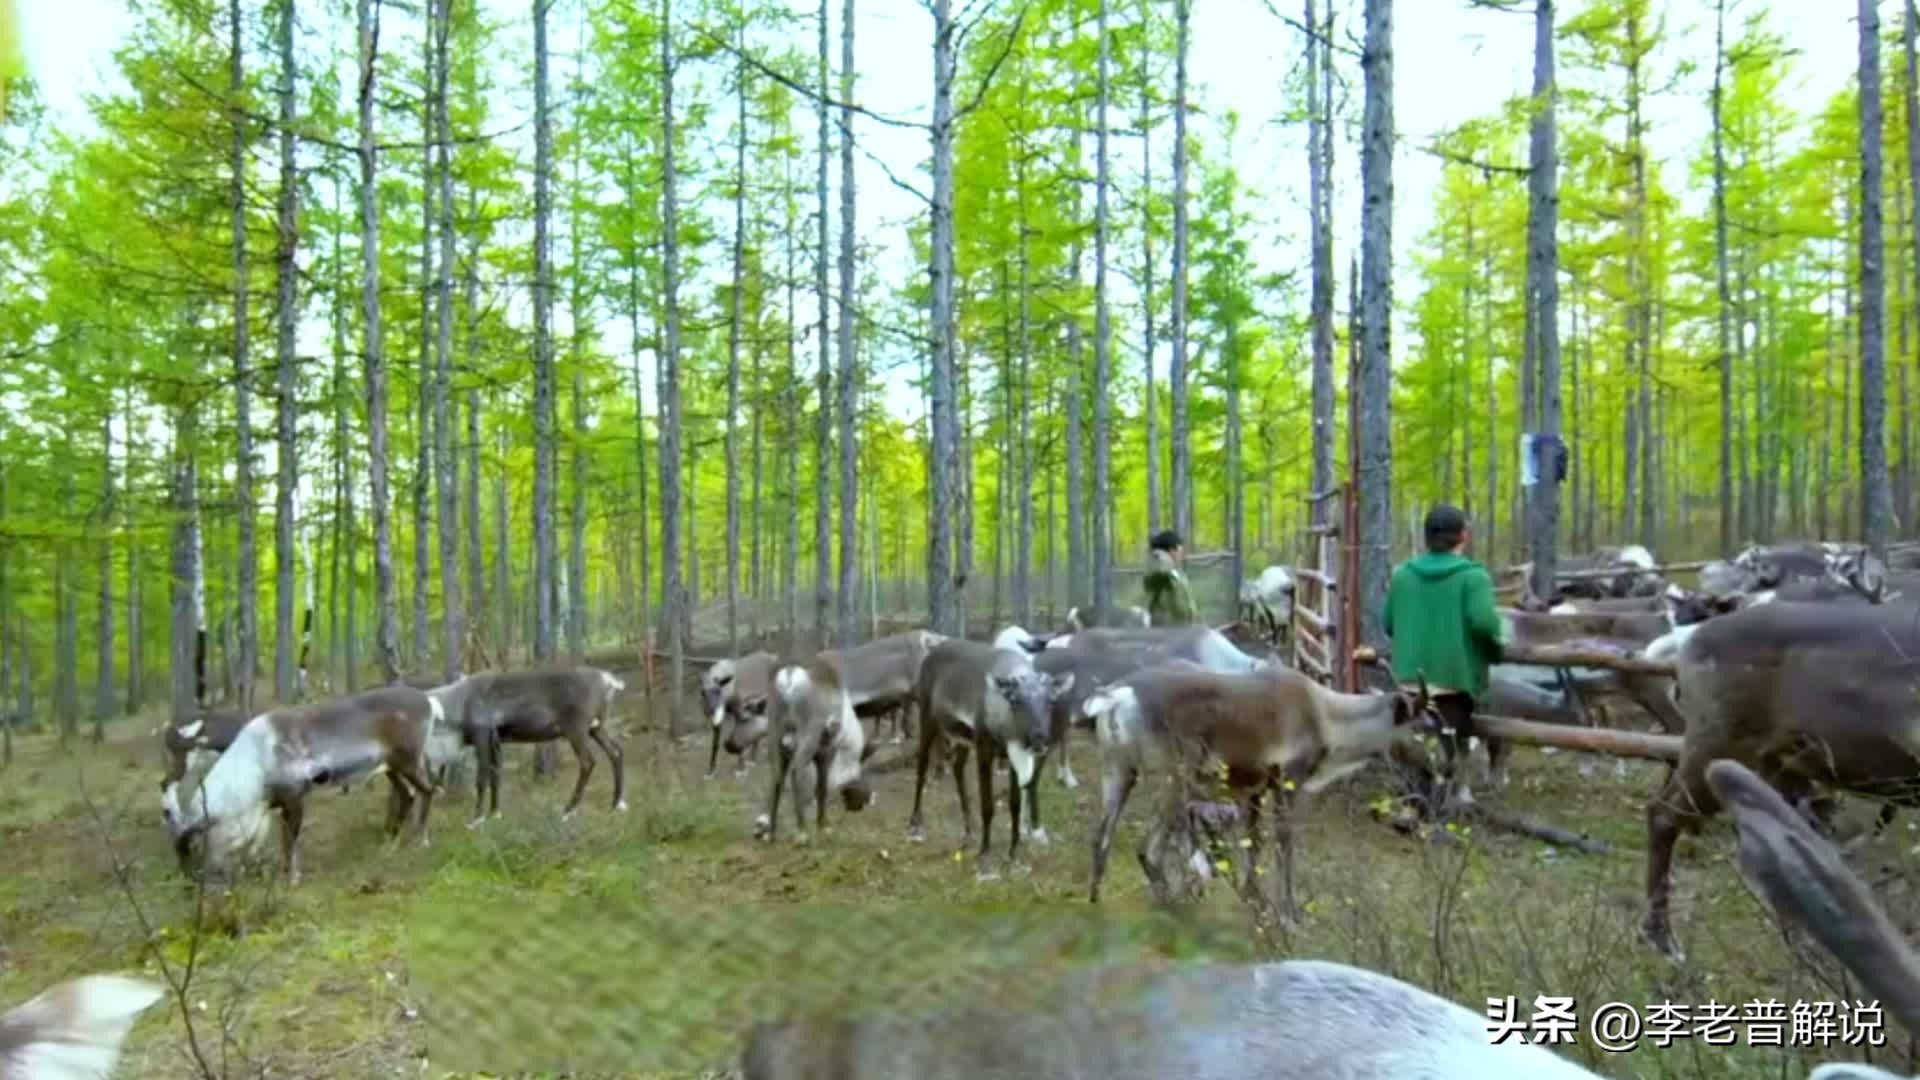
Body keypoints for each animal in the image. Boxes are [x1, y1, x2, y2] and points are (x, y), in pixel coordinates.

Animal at [160, 686, 442, 883]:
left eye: (195, 848)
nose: (191, 883)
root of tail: (428, 701)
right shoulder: (270, 804)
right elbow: (262, 843)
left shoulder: (294, 796)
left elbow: (289, 842)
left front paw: (291, 879)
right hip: (391, 766)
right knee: (408, 794)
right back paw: (389, 842)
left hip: (408, 759)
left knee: (428, 790)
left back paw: (422, 840)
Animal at [427, 667, 628, 824]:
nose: (436, 786)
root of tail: (610, 681)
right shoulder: (496, 739)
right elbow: (495, 775)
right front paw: (495, 813)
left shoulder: (482, 733)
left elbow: (481, 777)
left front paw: (477, 819)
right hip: (597, 727)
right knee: (616, 752)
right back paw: (617, 803)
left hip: (576, 727)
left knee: (588, 761)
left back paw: (568, 811)